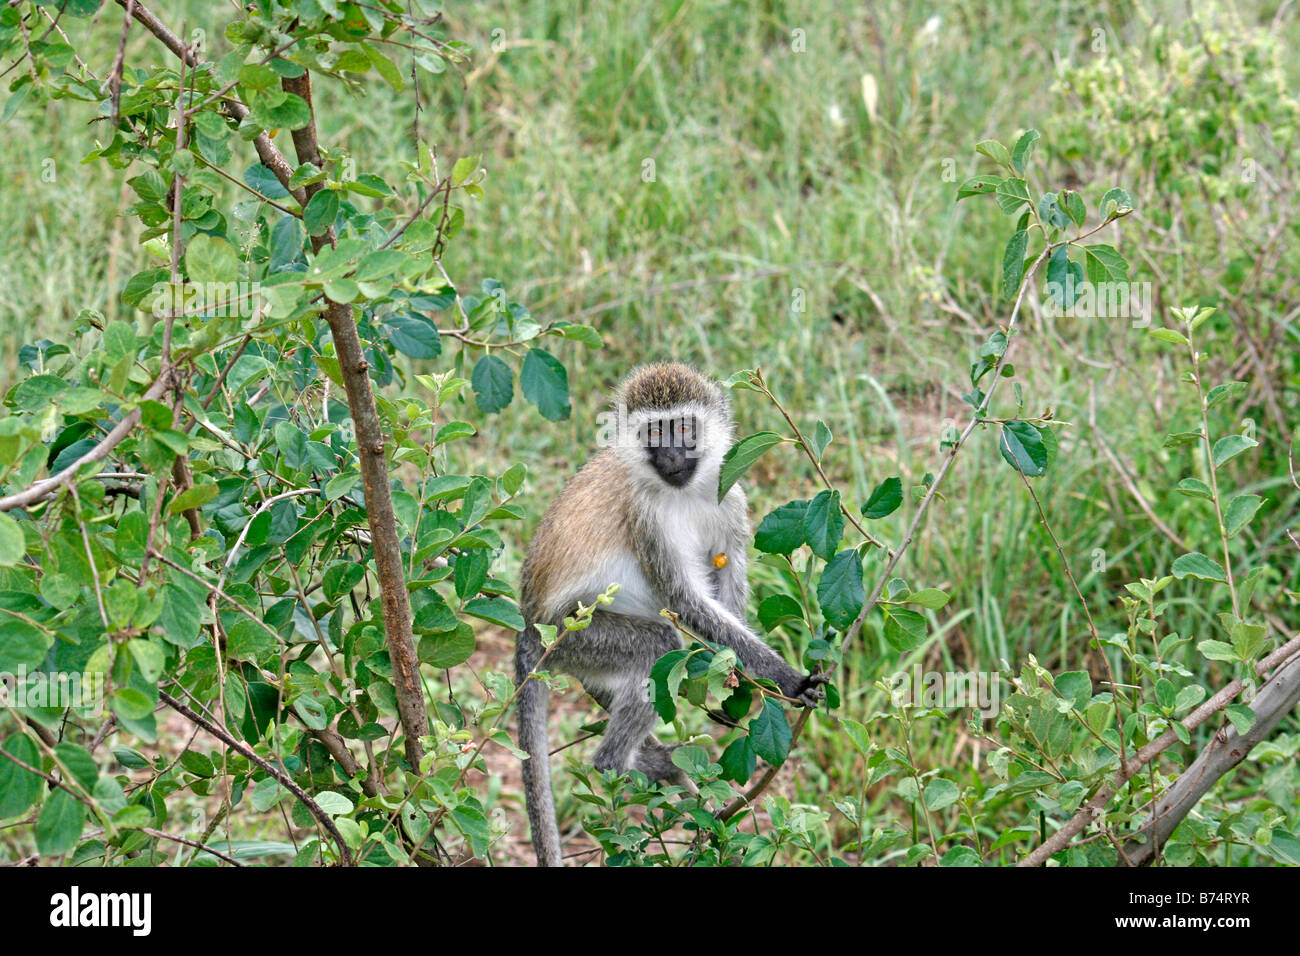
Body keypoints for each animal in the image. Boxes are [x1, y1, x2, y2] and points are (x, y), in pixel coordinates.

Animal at [514, 362, 829, 867]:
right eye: (654, 432)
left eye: (682, 428)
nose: (671, 454)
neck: (685, 491)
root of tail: (528, 627)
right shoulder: (646, 518)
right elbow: (685, 600)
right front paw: (790, 681)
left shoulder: (729, 492)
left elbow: (725, 575)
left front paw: (733, 691)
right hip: (573, 637)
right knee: (658, 644)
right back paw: (626, 763)